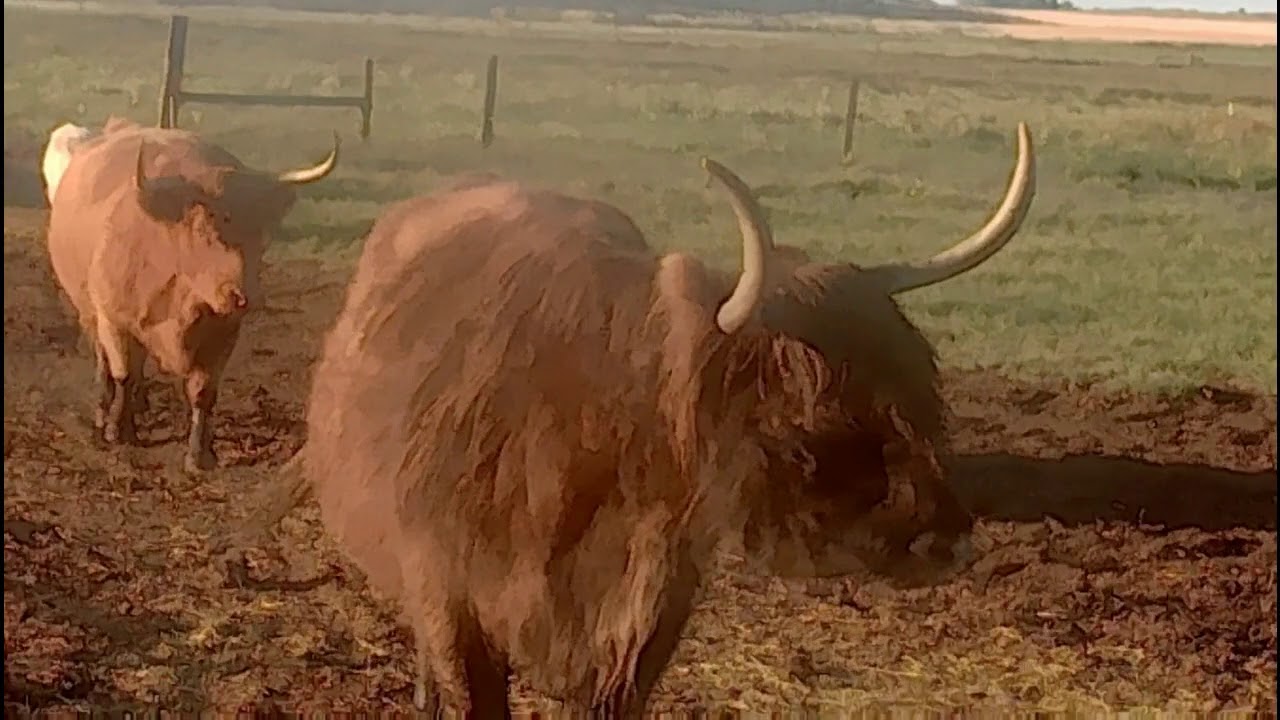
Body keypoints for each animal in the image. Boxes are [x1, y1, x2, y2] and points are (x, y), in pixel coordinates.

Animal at [45, 117, 339, 474]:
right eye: (204, 231)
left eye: (262, 231)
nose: (244, 296)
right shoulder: (115, 320)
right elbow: (123, 374)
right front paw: (119, 428)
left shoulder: (222, 334)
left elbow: (202, 393)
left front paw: (200, 454)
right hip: (90, 311)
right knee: (105, 361)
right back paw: (105, 408)